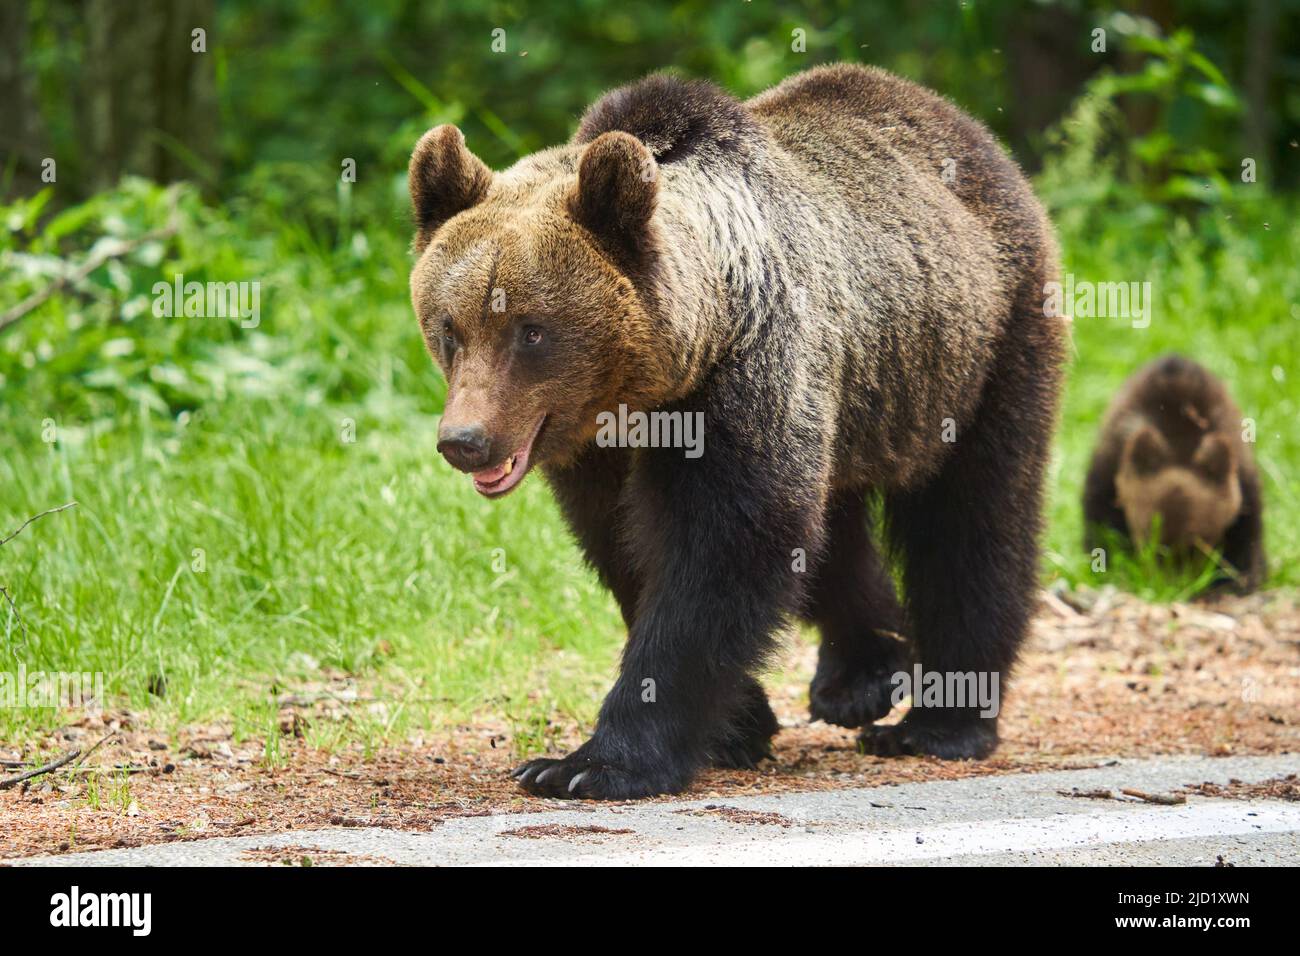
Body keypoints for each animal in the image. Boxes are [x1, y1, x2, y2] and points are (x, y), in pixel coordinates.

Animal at [408, 64, 1067, 799]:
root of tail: (966, 128)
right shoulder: (599, 453)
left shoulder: (744, 384)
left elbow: (722, 551)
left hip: (980, 349)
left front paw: (590, 763)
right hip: (858, 397)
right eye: (450, 328)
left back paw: (940, 722)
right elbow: (628, 548)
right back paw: (859, 677)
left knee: (973, 518)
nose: (466, 440)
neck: (652, 383)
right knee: (835, 528)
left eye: (531, 330)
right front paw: (740, 725)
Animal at [1083, 354, 1265, 593]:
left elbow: (1246, 534)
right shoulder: (1108, 471)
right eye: (1150, 543)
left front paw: (1235, 580)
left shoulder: (1243, 477)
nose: (1170, 587)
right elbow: (1101, 528)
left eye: (1196, 544)